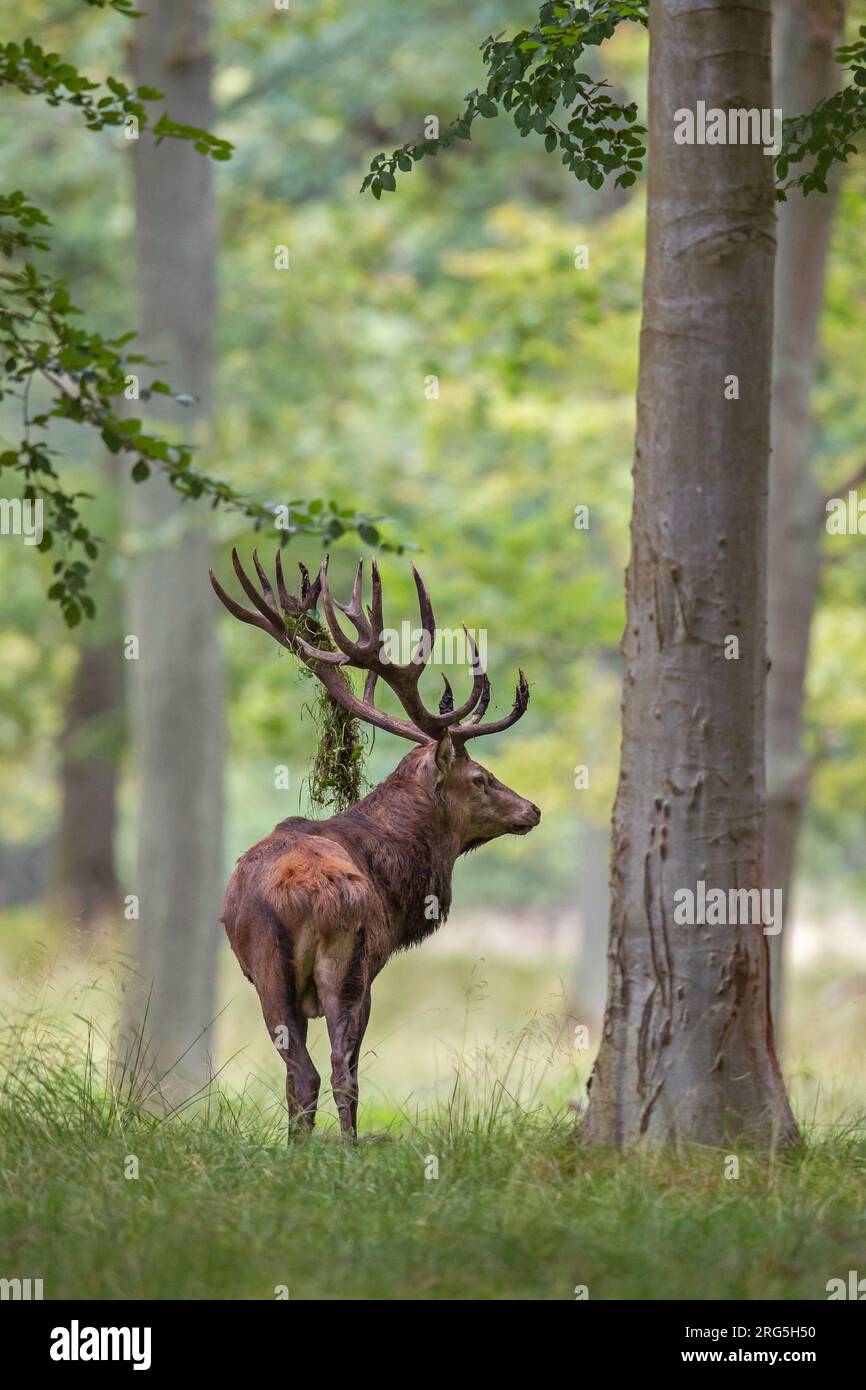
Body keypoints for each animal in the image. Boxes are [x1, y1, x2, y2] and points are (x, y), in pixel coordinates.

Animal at [209, 549, 540, 1139]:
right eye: (481, 778)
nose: (532, 810)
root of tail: (309, 896)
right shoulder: (374, 963)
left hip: (279, 973)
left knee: (306, 1075)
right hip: (351, 965)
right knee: (336, 1070)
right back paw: (345, 1149)